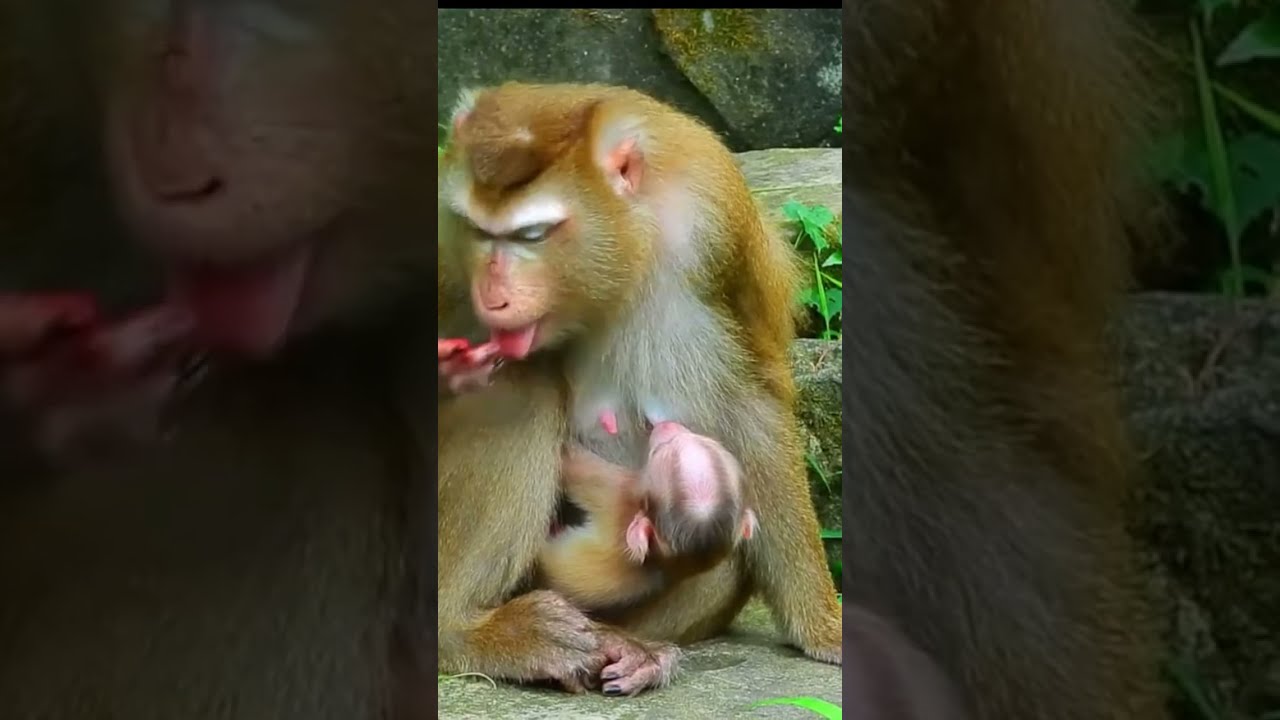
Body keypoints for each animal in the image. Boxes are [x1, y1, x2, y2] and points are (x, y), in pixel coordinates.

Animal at [537, 419, 758, 612]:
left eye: (660, 449)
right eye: (700, 438)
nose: (666, 424)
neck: (663, 563)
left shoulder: (620, 490)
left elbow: (570, 462)